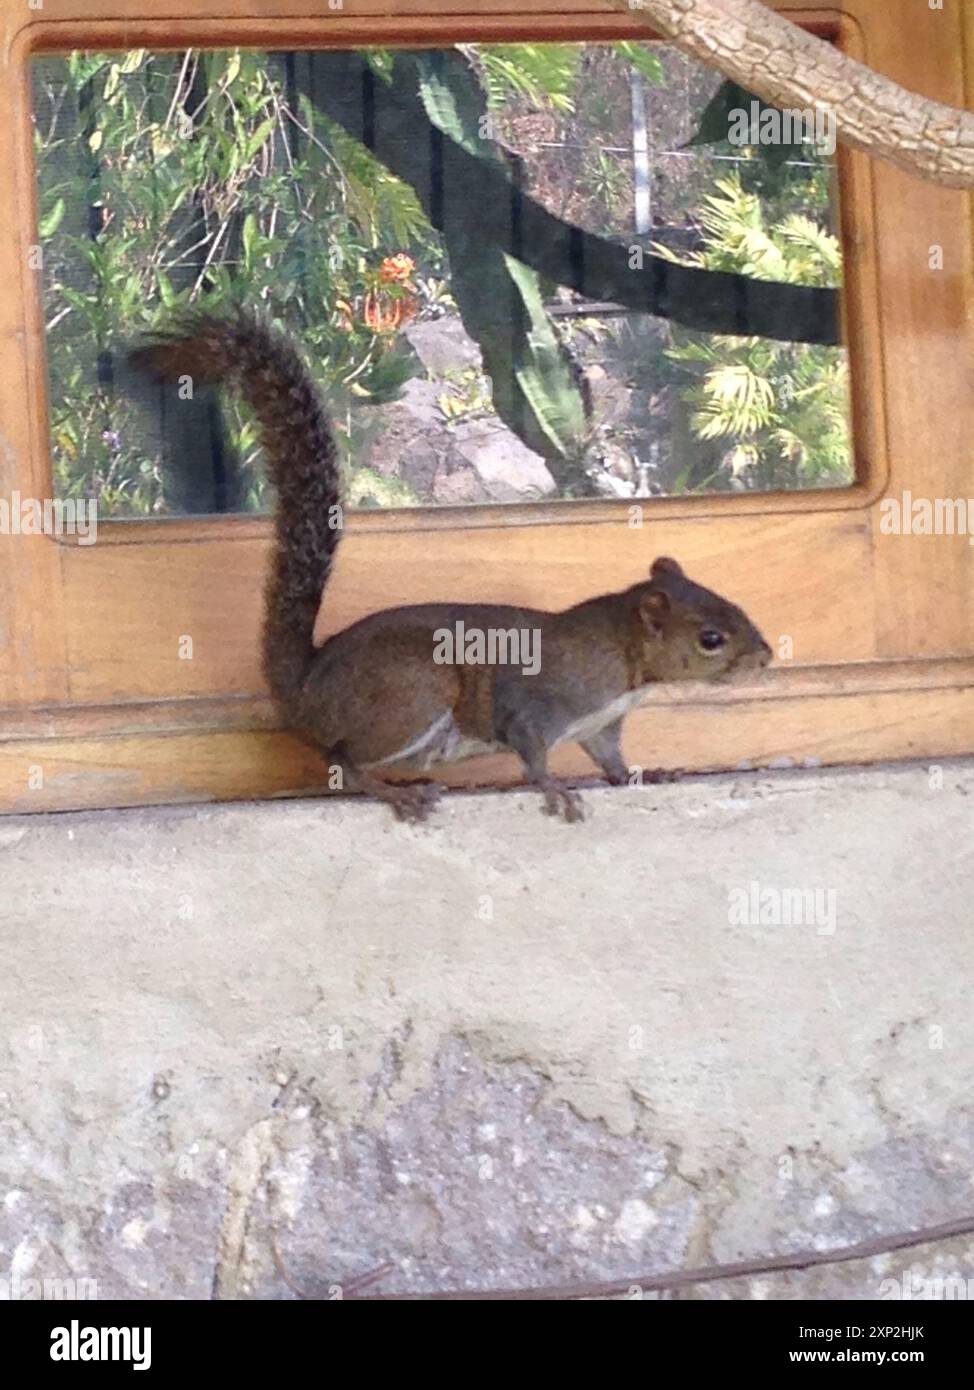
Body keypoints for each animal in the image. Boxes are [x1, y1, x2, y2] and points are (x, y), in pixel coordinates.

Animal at [130, 310, 772, 823]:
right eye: (710, 638)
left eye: (734, 604)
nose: (766, 657)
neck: (624, 659)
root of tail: (305, 689)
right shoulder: (540, 704)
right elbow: (533, 752)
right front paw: (554, 789)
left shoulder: (600, 726)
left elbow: (613, 762)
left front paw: (647, 775)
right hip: (414, 691)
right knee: (340, 759)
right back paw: (395, 793)